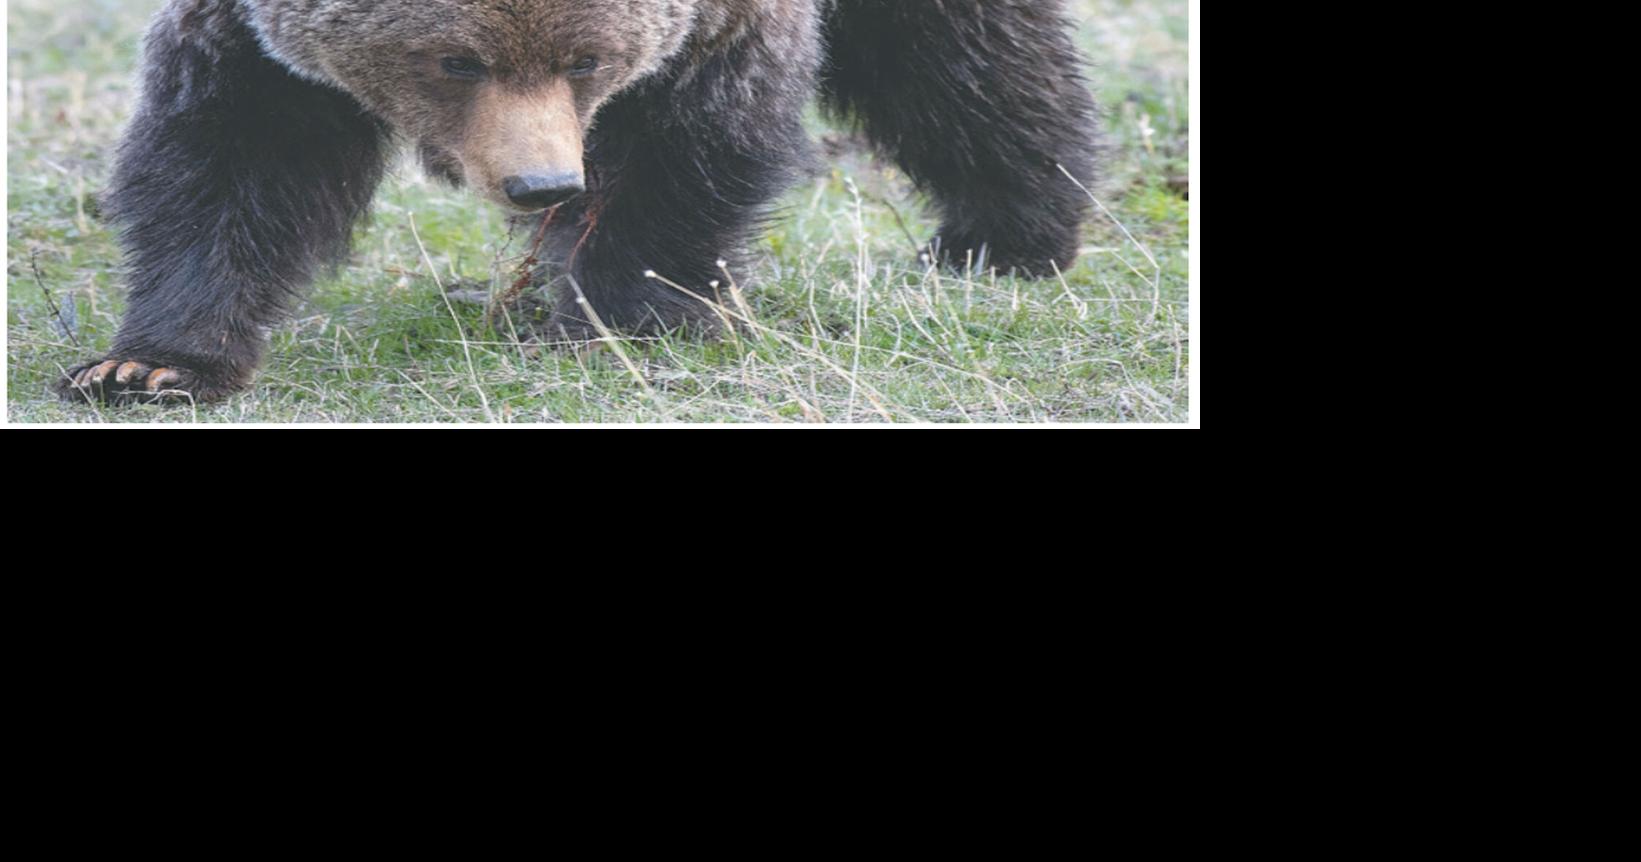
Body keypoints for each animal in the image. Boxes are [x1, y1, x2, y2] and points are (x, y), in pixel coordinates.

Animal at [58, 0, 1099, 404]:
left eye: (585, 57)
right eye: (455, 58)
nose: (544, 181)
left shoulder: (712, 35)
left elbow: (689, 145)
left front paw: (625, 316)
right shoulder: (256, 50)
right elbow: (230, 167)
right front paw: (148, 363)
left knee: (964, 61)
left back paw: (1007, 230)